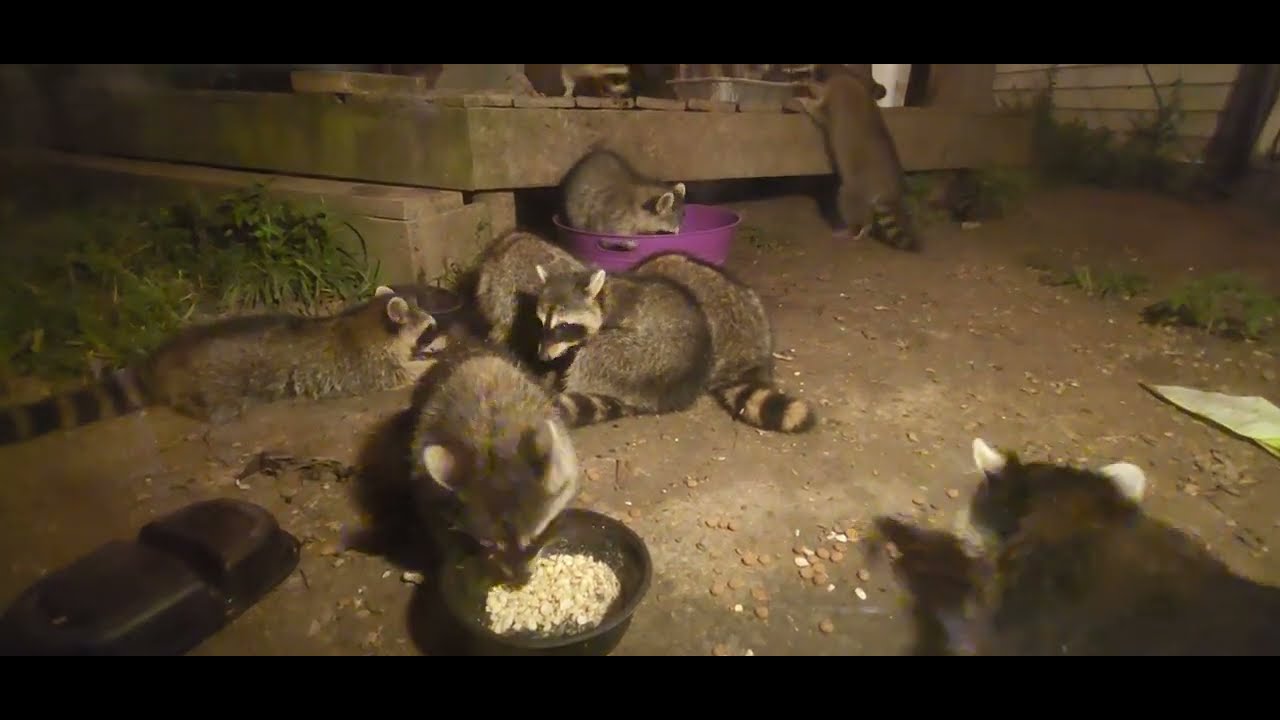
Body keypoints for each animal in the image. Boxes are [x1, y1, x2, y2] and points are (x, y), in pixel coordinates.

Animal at [0, 286, 436, 447]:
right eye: (429, 327)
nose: (438, 330)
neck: (369, 319)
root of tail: (162, 359)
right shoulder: (369, 366)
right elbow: (398, 375)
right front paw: (430, 361)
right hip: (212, 387)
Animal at [533, 265, 713, 428]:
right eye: (542, 323)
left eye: (563, 326)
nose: (542, 356)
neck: (602, 298)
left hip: (638, 360)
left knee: (594, 352)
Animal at [799, 63, 921, 252]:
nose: (805, 75)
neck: (842, 71)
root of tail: (888, 187)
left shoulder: (834, 93)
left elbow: (819, 112)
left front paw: (806, 99)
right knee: (868, 214)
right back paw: (867, 226)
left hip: (856, 189)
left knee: (848, 202)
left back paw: (855, 228)